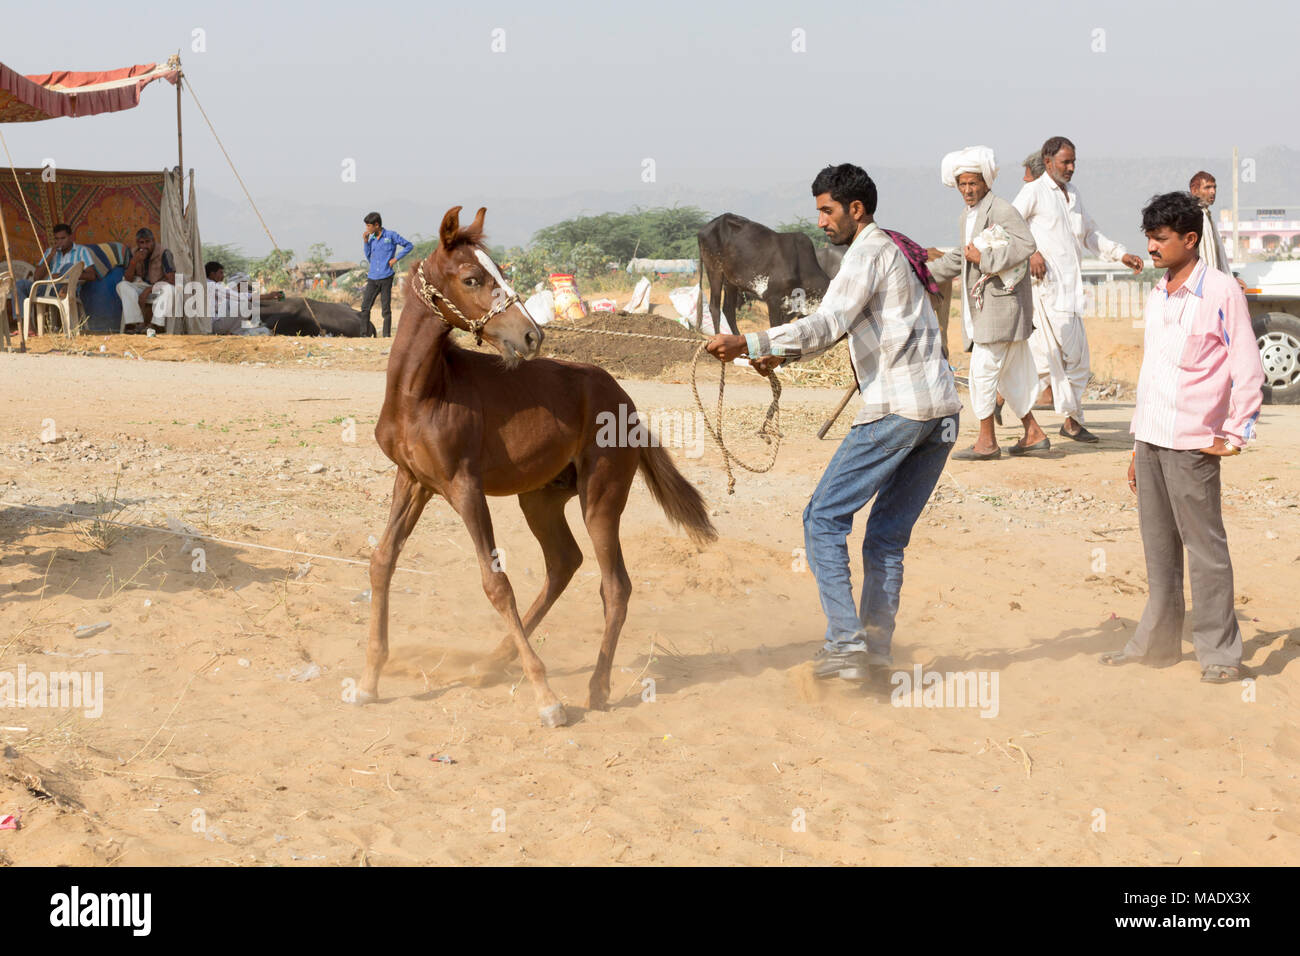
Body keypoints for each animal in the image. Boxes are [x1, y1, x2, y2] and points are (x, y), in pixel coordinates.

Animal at [359, 205, 717, 727]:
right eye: (472, 277)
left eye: (501, 272)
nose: (531, 335)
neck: (422, 392)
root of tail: (627, 402)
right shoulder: (413, 481)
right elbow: (382, 561)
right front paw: (368, 681)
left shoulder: (464, 486)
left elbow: (496, 583)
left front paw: (548, 700)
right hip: (540, 499)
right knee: (564, 563)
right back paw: (490, 664)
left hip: (601, 497)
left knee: (615, 587)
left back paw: (596, 687)